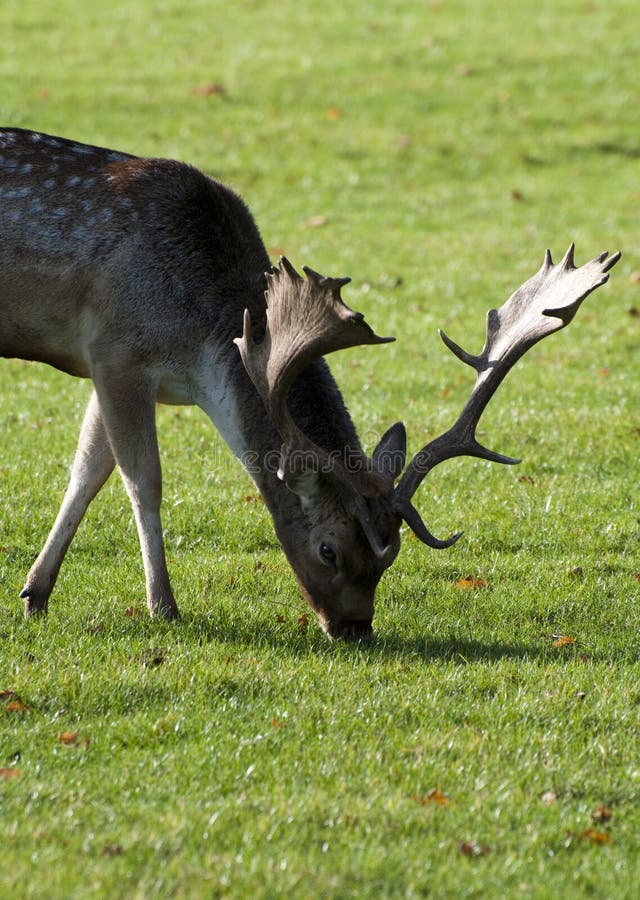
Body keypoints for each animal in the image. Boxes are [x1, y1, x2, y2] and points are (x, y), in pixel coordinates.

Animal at [0, 127, 620, 640]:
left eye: (388, 558)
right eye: (328, 550)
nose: (355, 629)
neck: (201, 348)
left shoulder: (116, 368)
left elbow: (88, 470)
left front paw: (35, 593)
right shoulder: (116, 349)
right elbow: (139, 479)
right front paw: (163, 606)